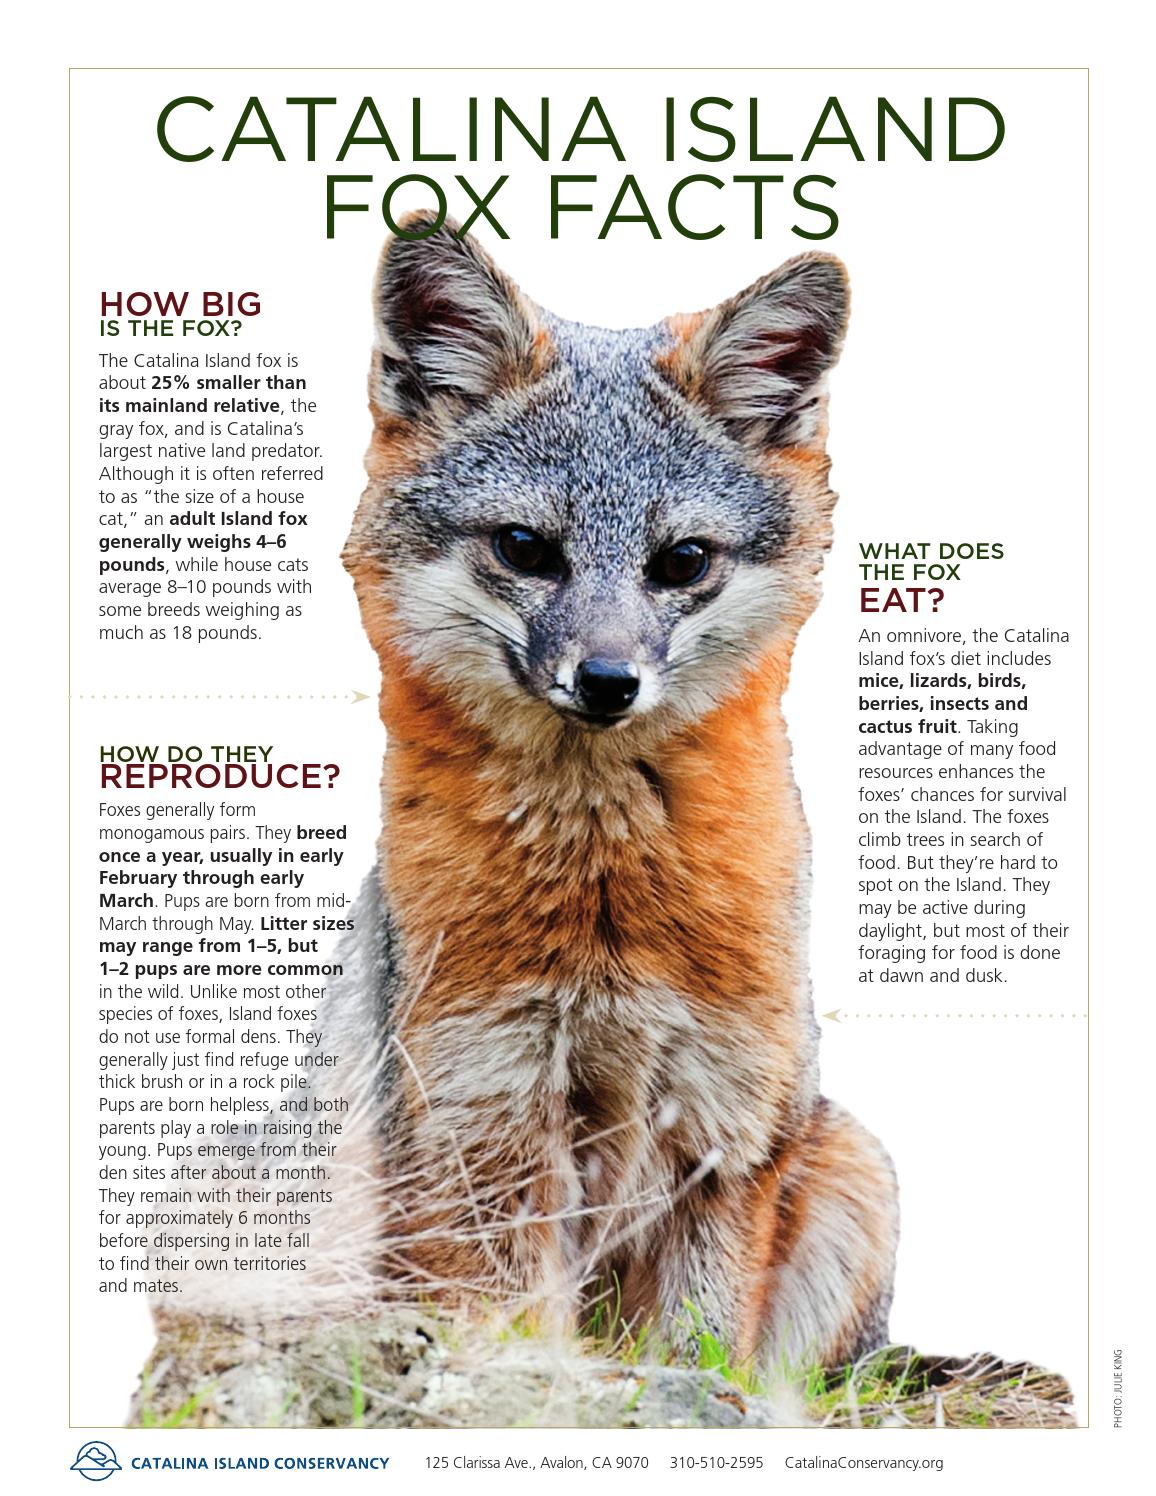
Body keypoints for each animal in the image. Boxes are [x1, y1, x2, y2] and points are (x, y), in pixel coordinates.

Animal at [326, 214, 899, 1374]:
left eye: (681, 560)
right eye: (524, 549)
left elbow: (695, 1351)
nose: (605, 679)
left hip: (850, 1165)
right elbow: (517, 1340)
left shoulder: (729, 1123)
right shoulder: (483, 1116)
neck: (605, 906)